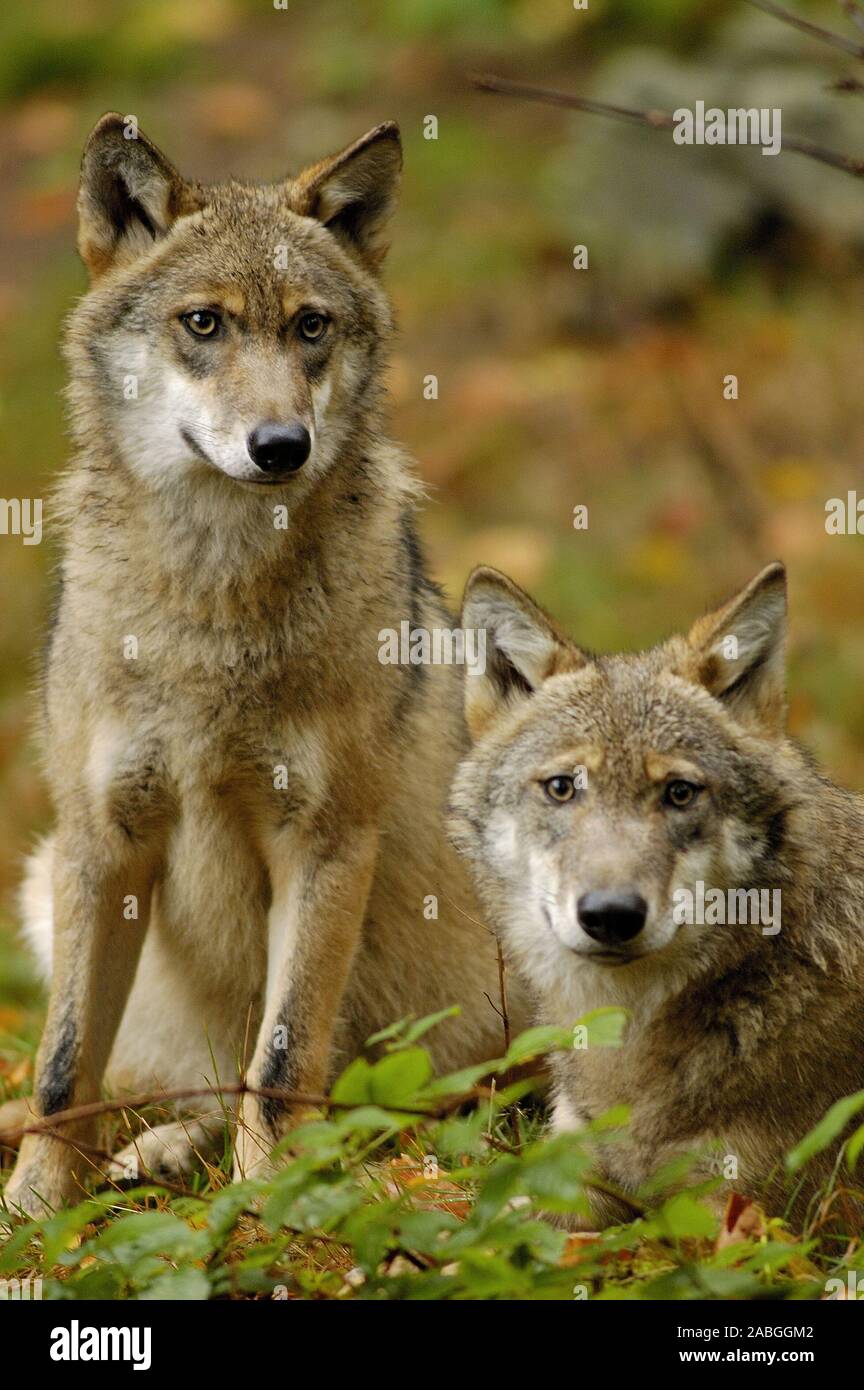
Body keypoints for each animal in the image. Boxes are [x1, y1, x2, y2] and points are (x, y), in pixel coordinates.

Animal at [3, 114, 528, 1220]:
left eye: (310, 327)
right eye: (204, 324)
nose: (281, 445)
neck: (214, 605)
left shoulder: (323, 839)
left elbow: (282, 1063)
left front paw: (269, 1211)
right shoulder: (100, 841)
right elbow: (63, 1069)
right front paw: (30, 1213)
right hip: (42, 879)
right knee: (173, 1085)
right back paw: (156, 1153)